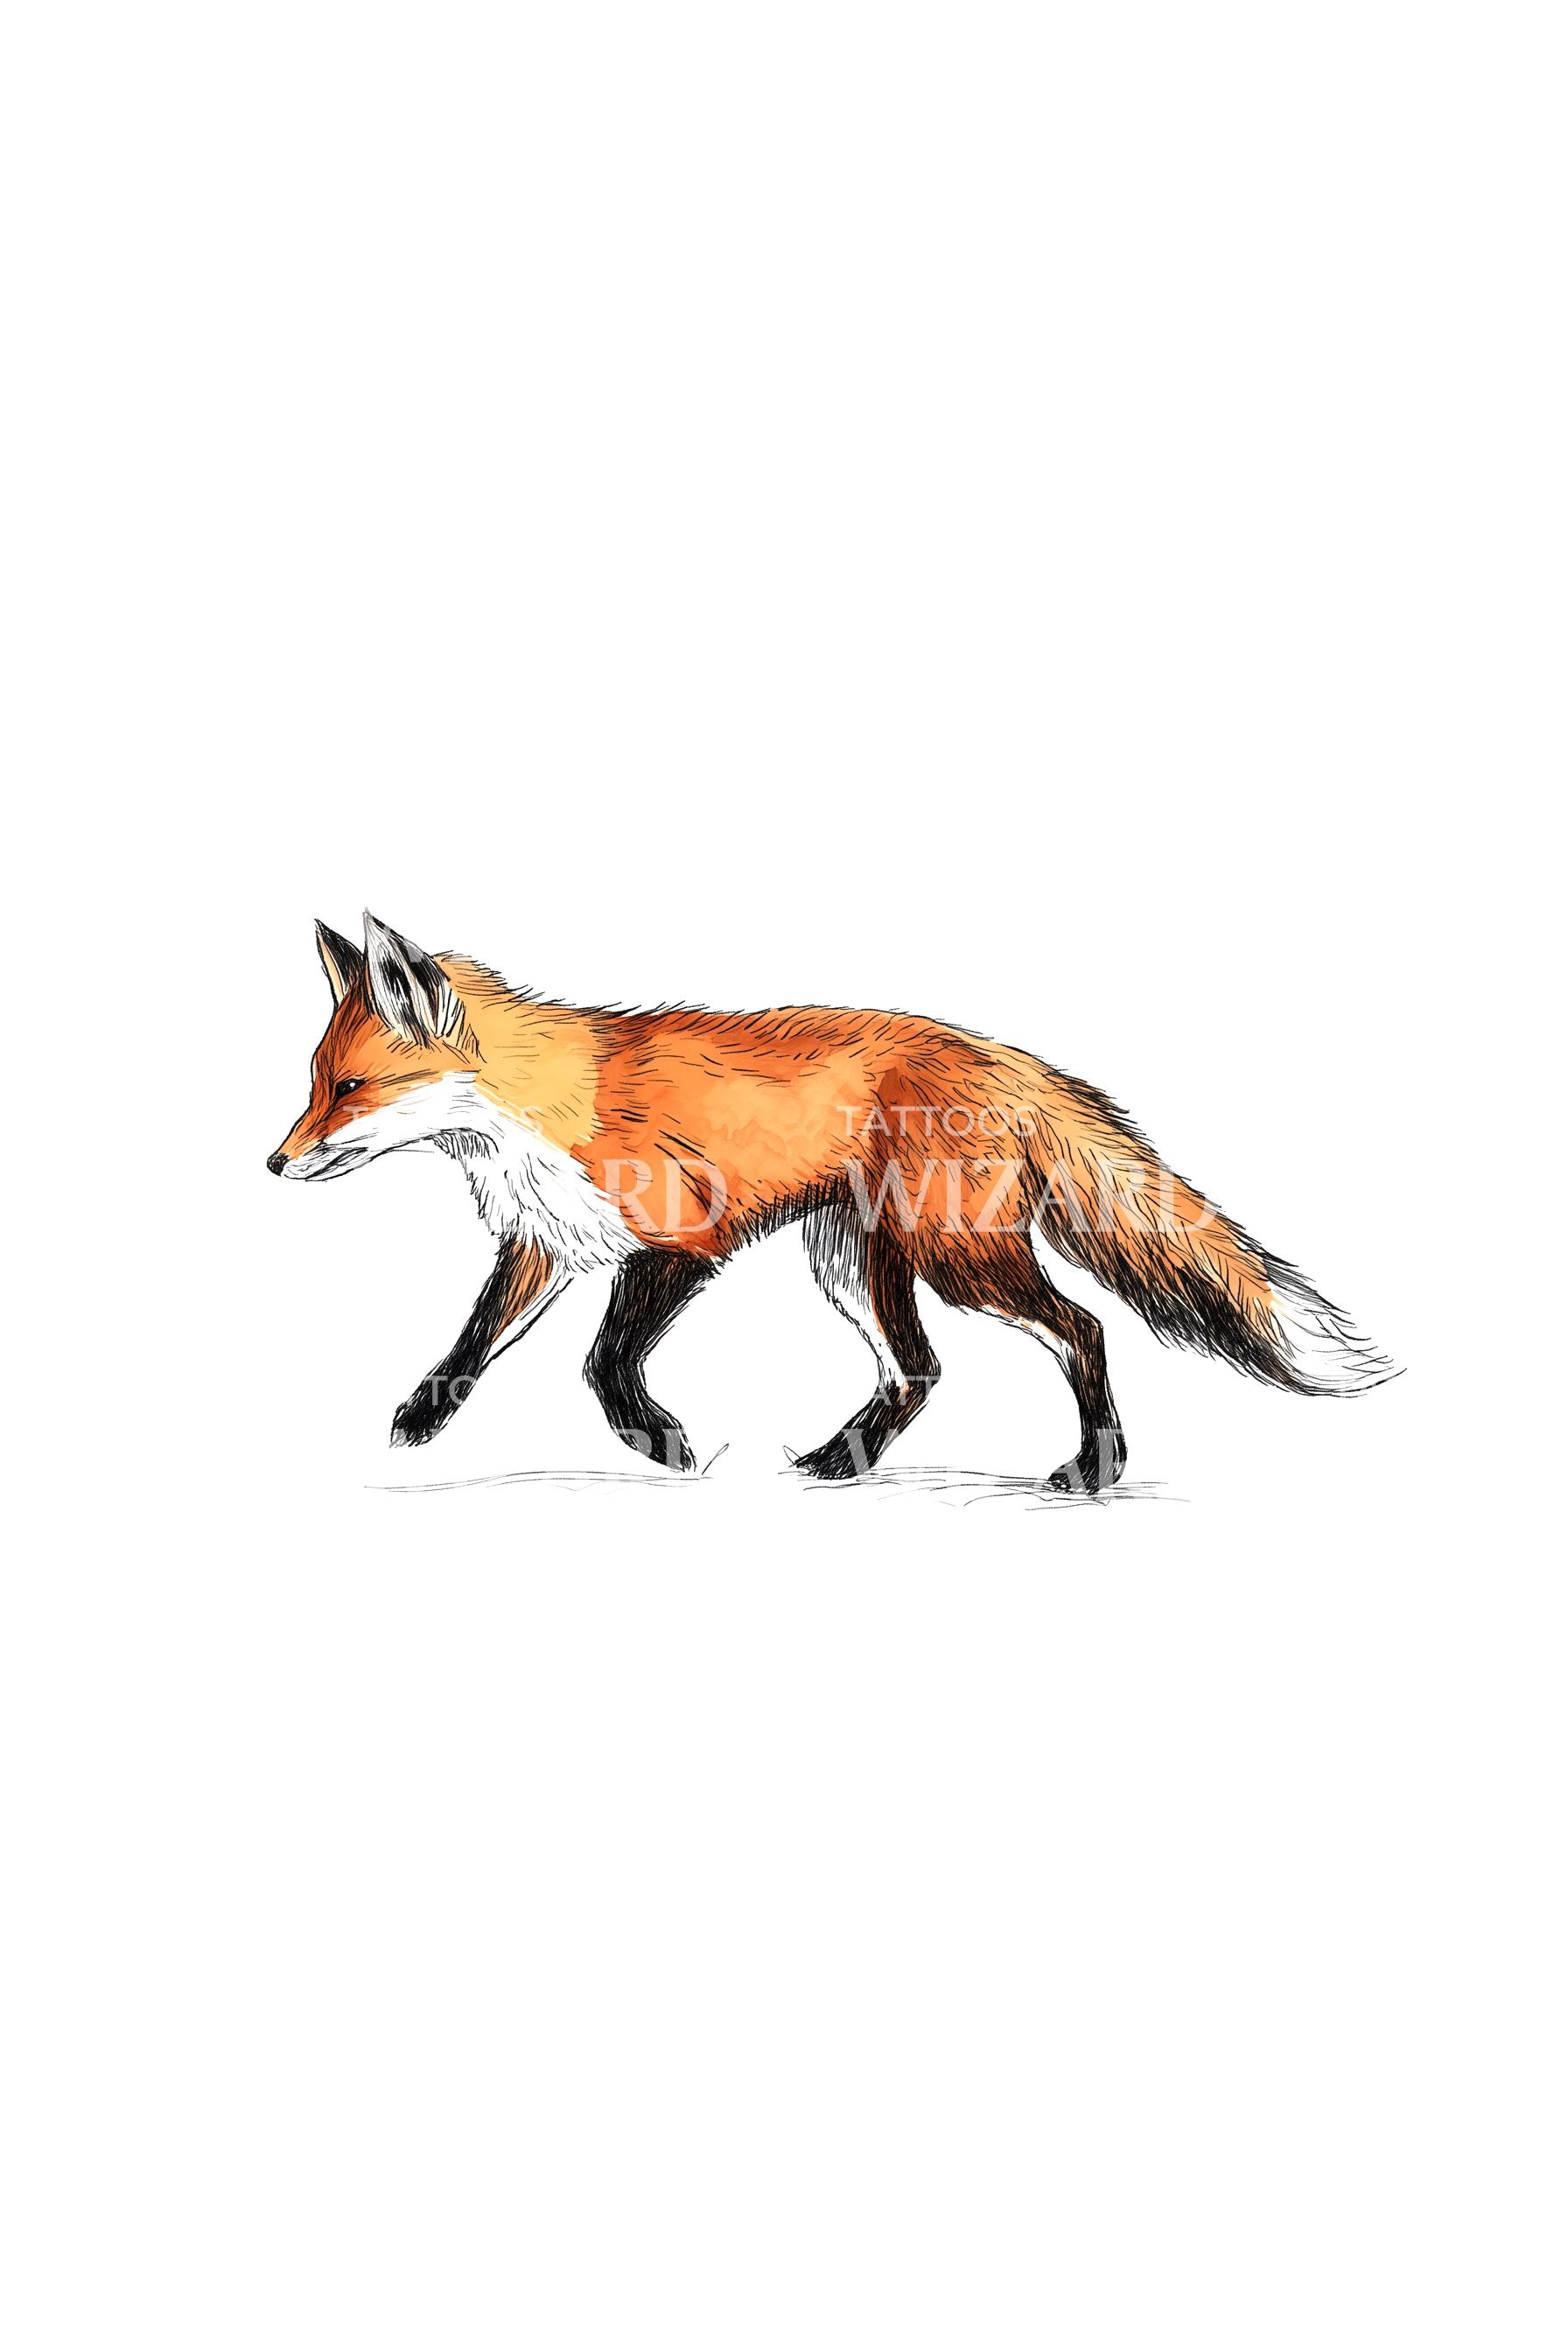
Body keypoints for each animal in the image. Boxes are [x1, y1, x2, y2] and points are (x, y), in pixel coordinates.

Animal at [269, 913, 1393, 1488]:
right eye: (314, 1085)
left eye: (350, 1088)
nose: (273, 1164)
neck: (539, 1113)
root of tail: (1007, 1057)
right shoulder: (548, 1240)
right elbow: (470, 1342)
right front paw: (420, 1418)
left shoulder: (683, 1240)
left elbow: (602, 1364)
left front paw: (659, 1443)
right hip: (852, 1262)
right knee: (920, 1369)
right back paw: (843, 1461)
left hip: (960, 1258)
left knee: (1081, 1328)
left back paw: (1094, 1469)